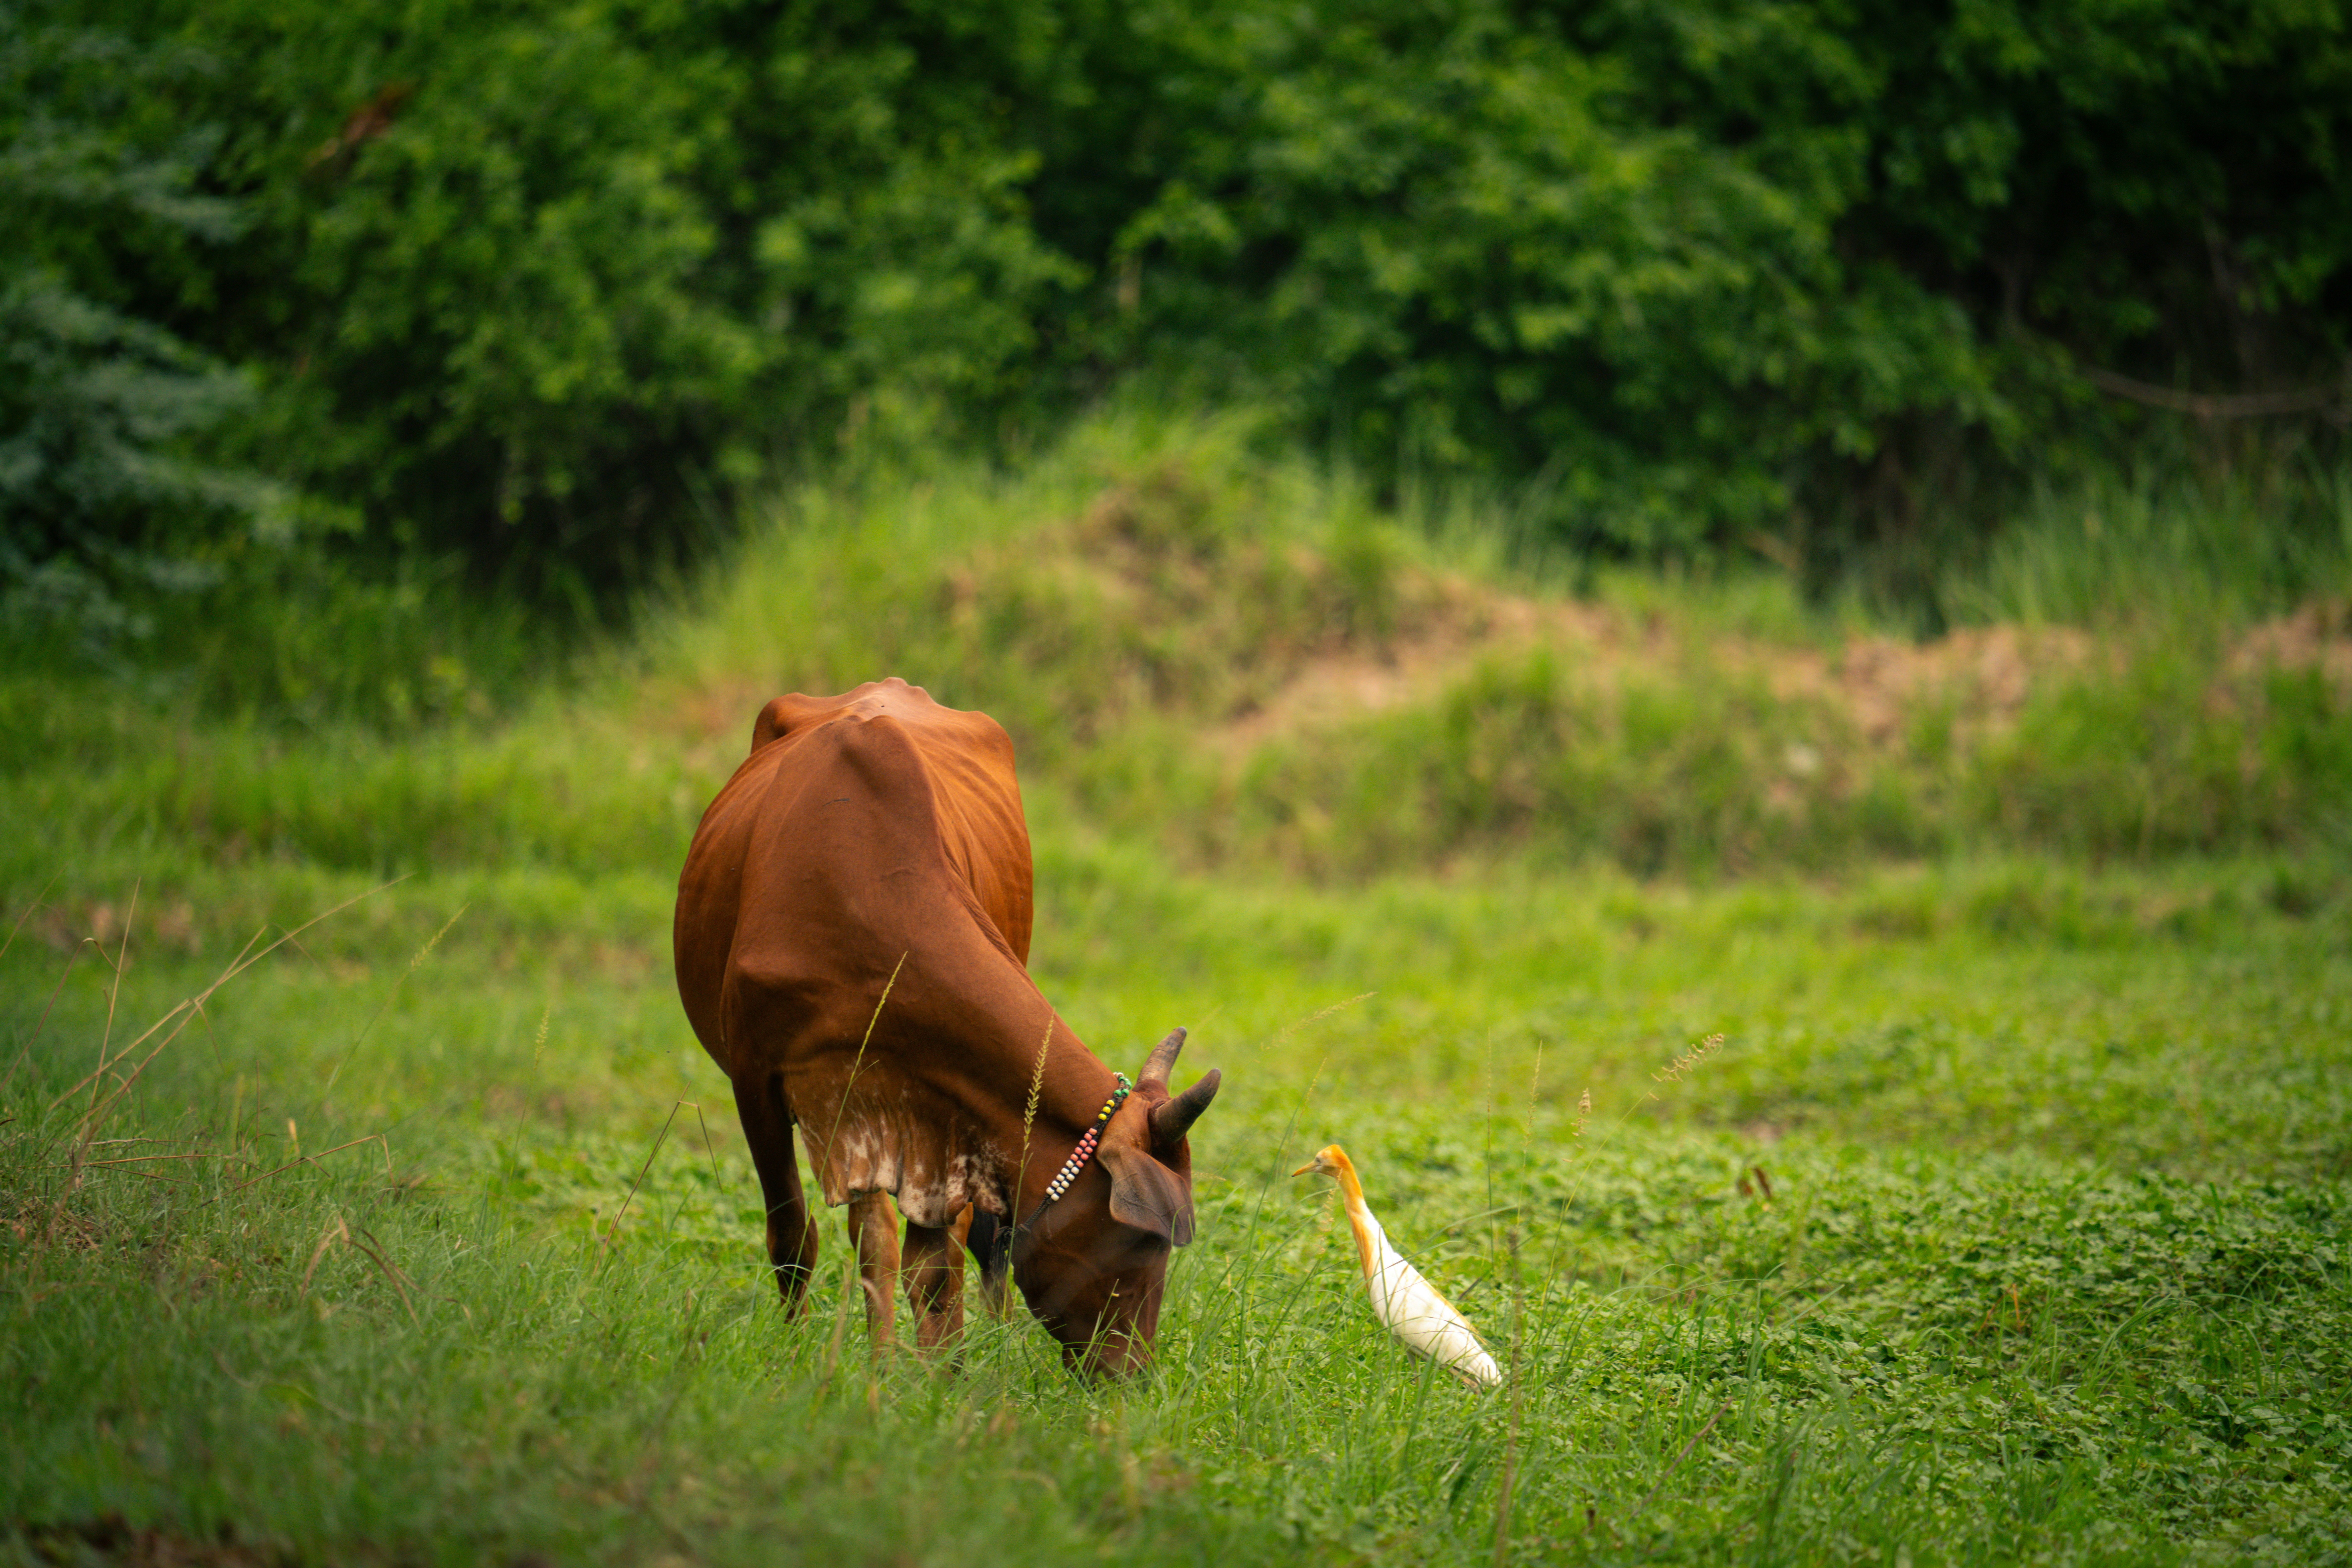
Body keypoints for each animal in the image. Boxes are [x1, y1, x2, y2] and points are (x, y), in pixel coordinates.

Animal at [673, 678, 1220, 1376]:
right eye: (1139, 1239)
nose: (1135, 1375)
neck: (859, 894)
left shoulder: (938, 1109)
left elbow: (933, 1267)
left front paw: (942, 1376)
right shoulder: (758, 1080)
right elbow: (794, 1237)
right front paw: (808, 1363)